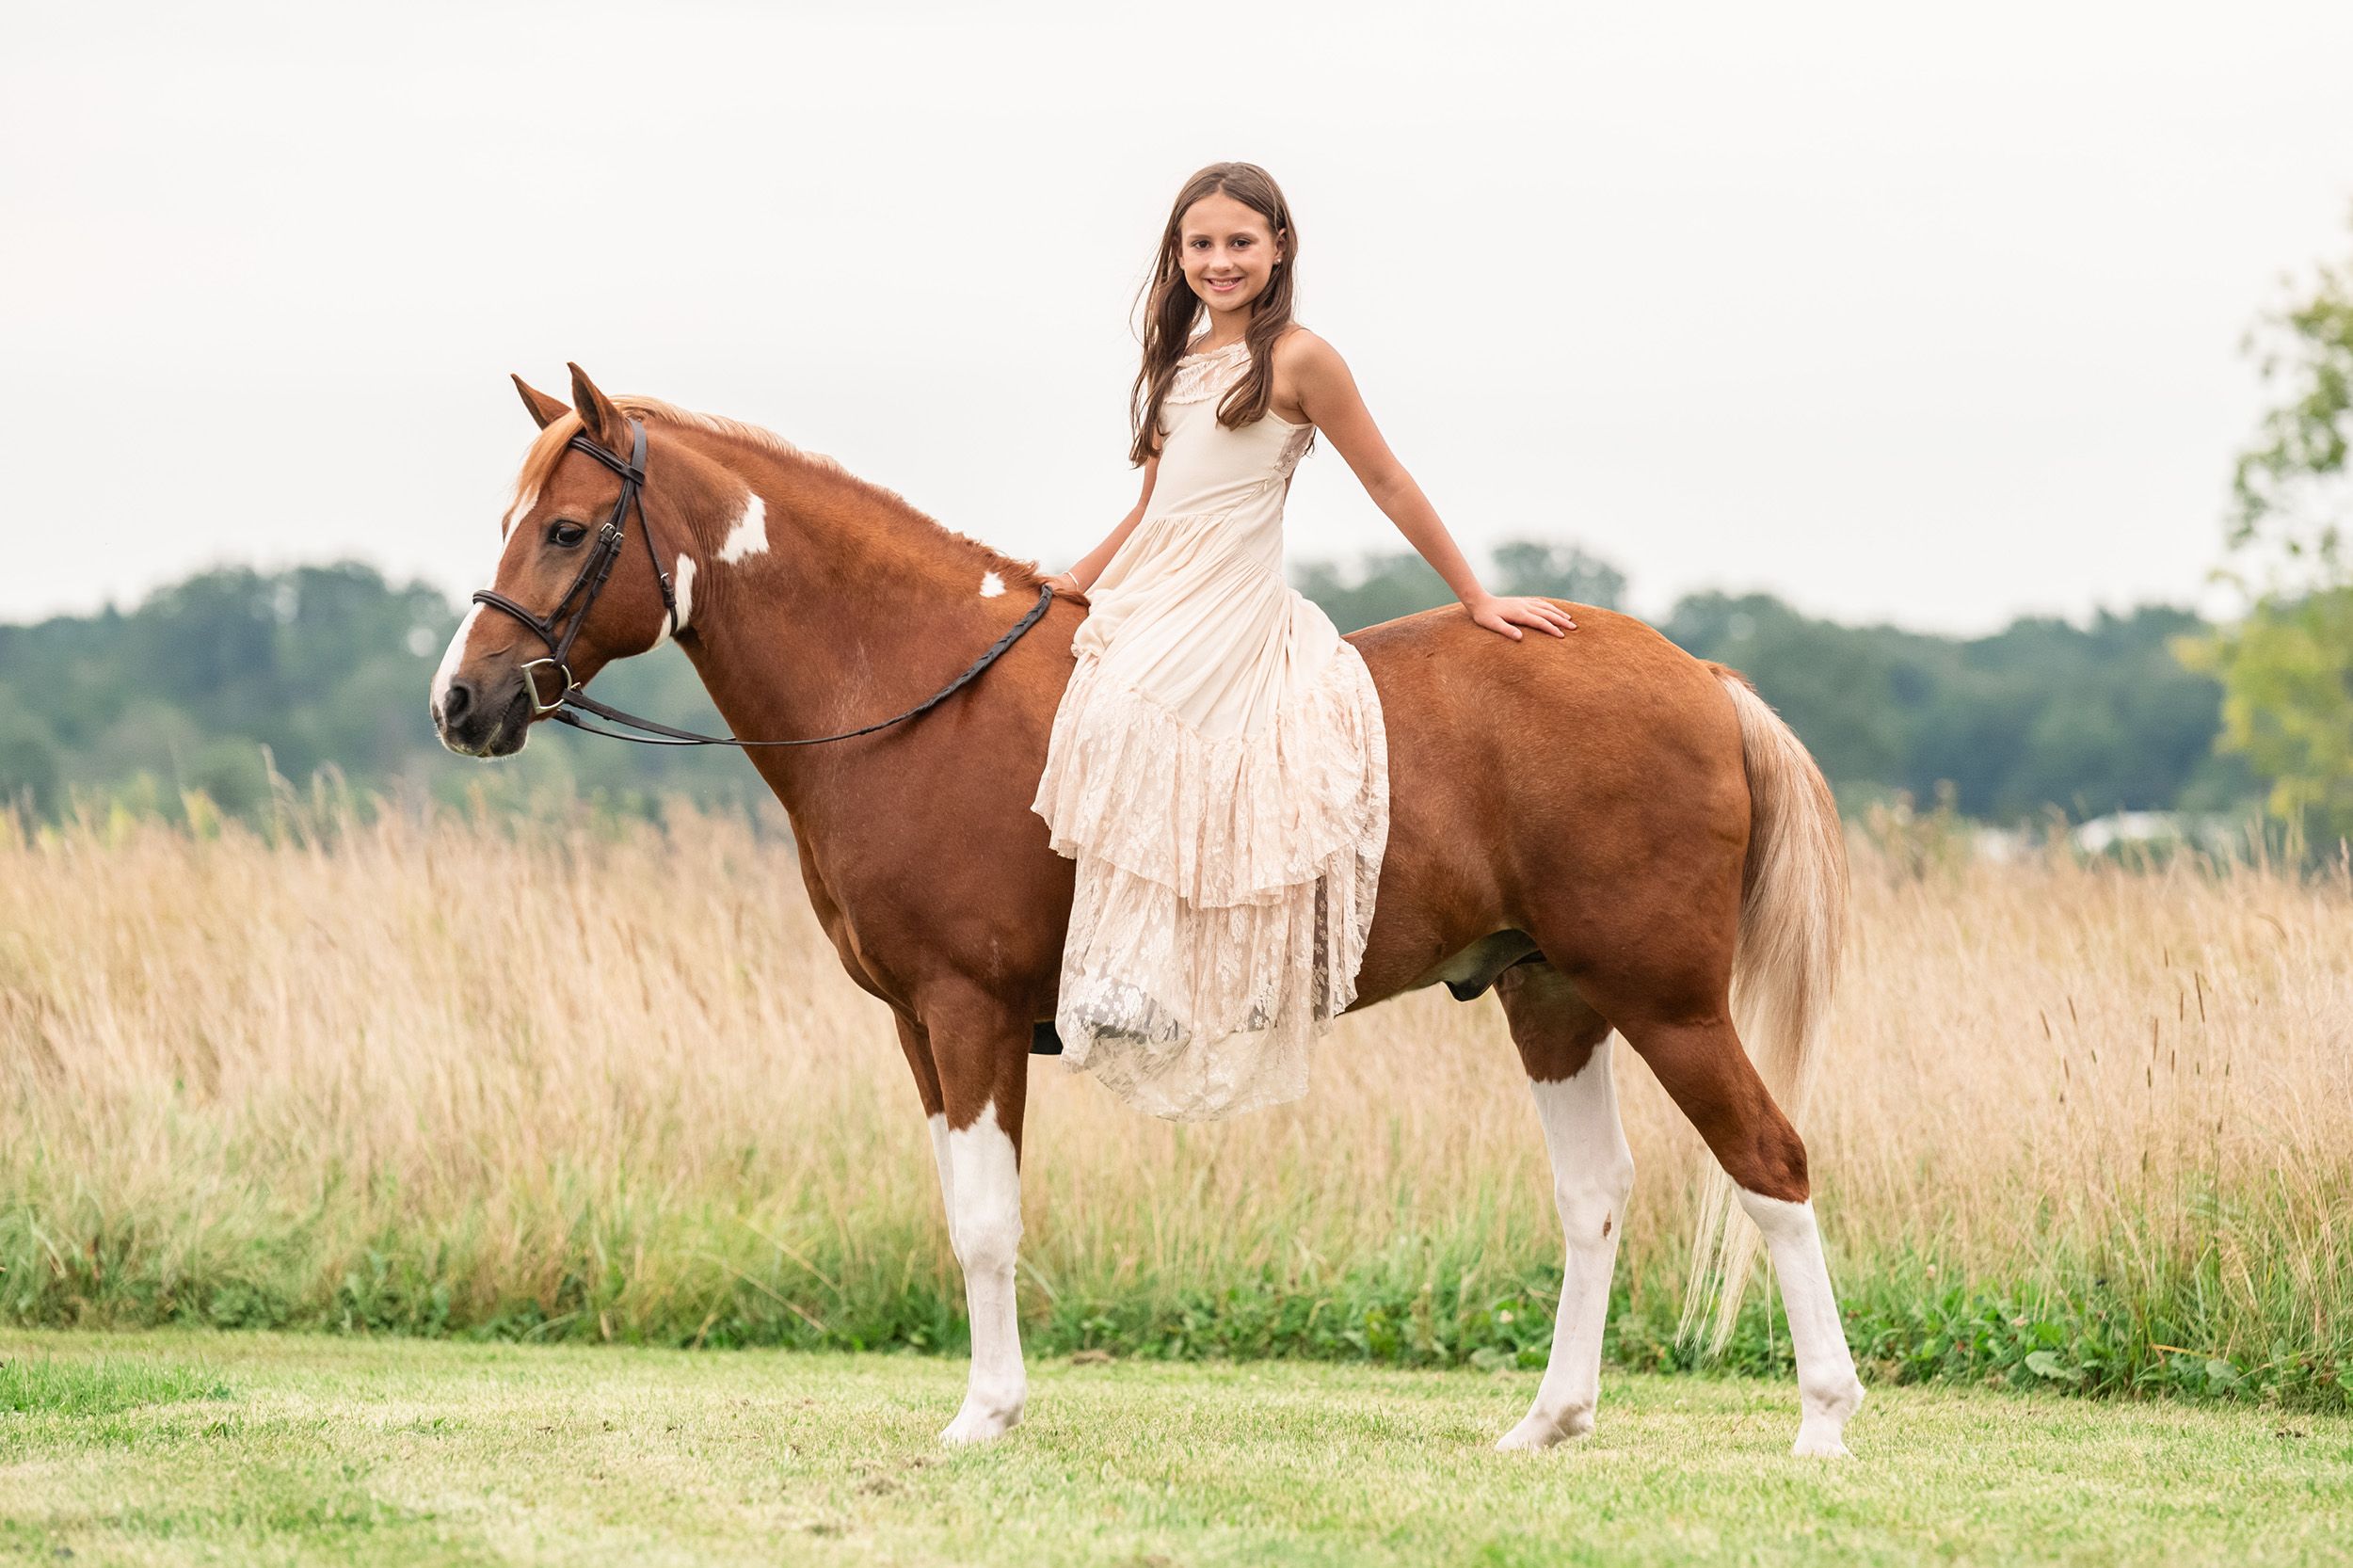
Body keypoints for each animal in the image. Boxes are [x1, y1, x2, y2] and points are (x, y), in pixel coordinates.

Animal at [432, 364, 1866, 1457]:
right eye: (509, 516)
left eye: (567, 531)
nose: (461, 701)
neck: (912, 693)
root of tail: (1701, 672)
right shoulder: (917, 1029)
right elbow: (962, 1209)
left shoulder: (970, 1015)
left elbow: (990, 1223)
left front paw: (985, 1418)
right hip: (1552, 994)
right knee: (1595, 1195)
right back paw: (1550, 1421)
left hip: (1666, 1000)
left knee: (1771, 1163)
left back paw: (1822, 1420)